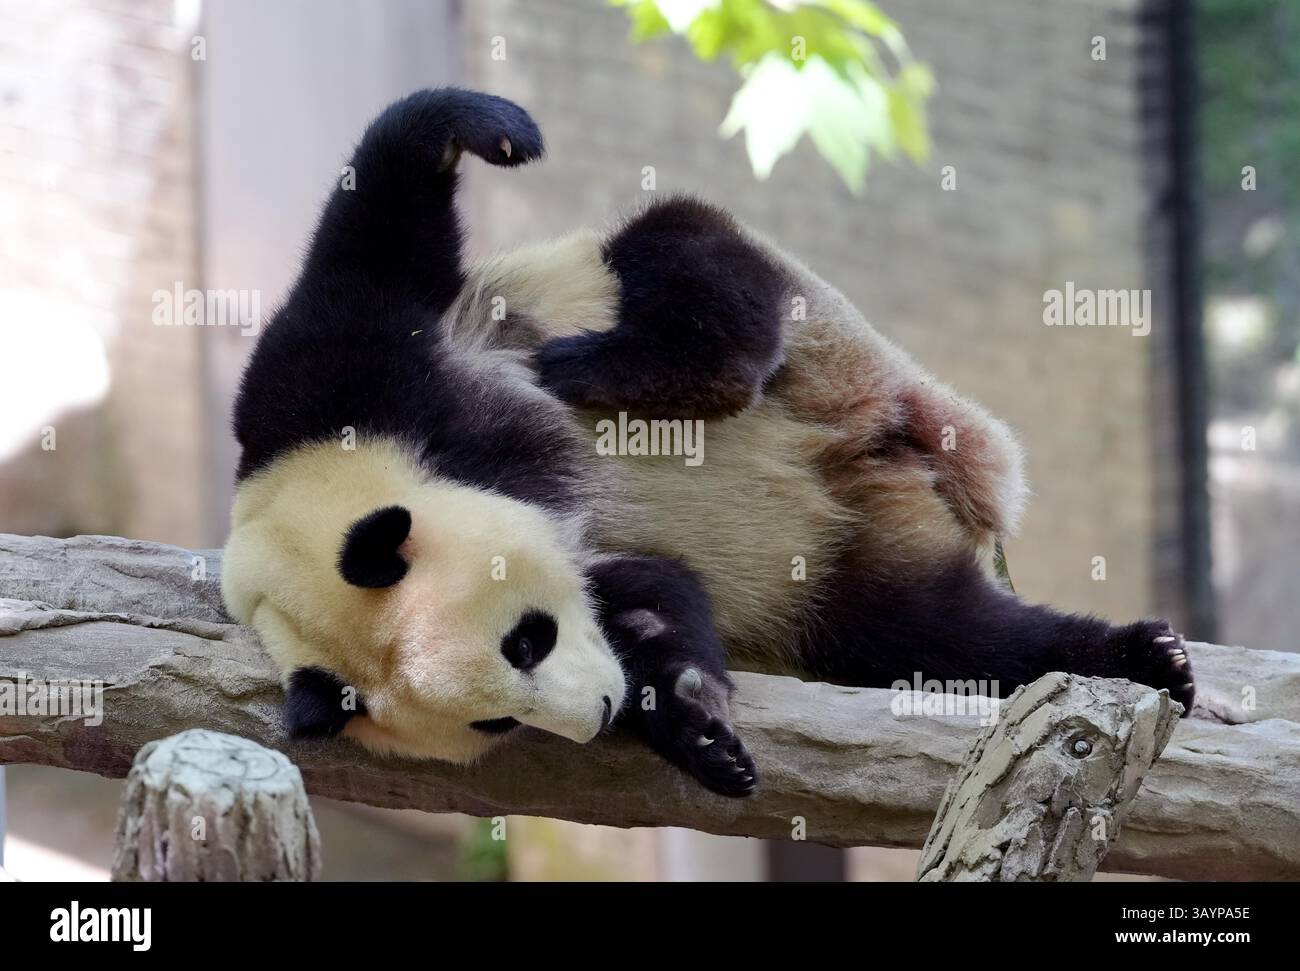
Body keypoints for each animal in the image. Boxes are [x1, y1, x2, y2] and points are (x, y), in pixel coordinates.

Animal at [221, 88, 1195, 798]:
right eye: (494, 721)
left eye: (525, 641)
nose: (599, 706)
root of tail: (892, 437)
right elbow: (653, 595)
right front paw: (693, 726)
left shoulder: (335, 382)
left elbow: (377, 230)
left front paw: (485, 128)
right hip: (855, 555)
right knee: (936, 632)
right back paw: (1135, 658)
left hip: (815, 335)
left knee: (683, 249)